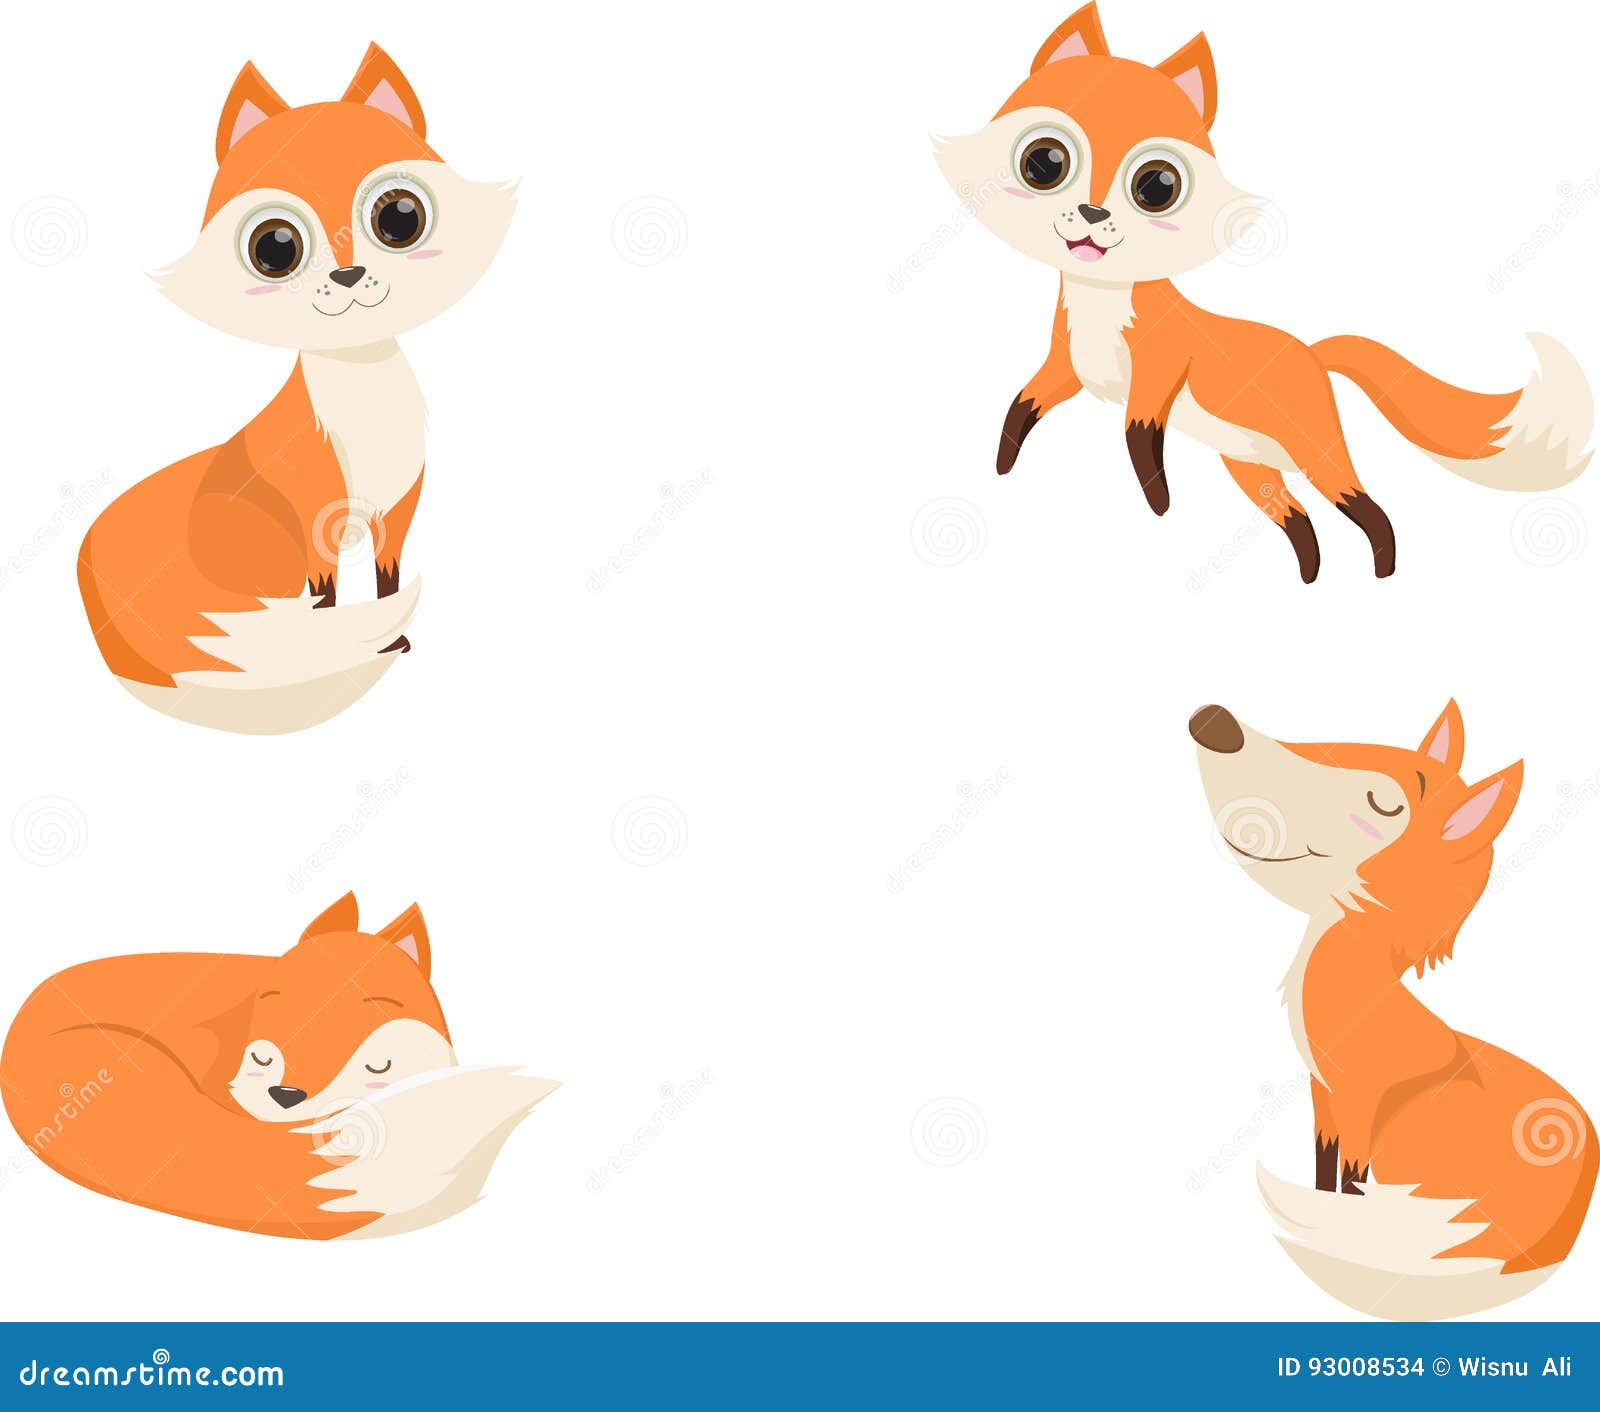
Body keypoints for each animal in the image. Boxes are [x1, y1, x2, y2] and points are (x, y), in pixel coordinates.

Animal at [77, 44, 514, 734]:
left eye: (400, 217)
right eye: (275, 247)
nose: (349, 273)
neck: (366, 412)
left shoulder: (397, 512)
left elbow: (386, 584)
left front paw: (392, 638)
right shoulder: (315, 521)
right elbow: (331, 599)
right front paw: (369, 646)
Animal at [935, 5, 1592, 581]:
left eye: (1157, 186)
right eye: (1044, 162)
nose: (1094, 214)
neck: (1101, 306)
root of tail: (1311, 351)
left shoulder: (1158, 374)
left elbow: (1139, 437)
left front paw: (1158, 502)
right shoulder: (1065, 367)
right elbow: (1023, 405)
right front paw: (1002, 463)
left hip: (1317, 455)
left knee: (1370, 510)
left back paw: (1383, 572)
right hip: (1252, 470)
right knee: (1302, 524)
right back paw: (1310, 578)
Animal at [1191, 701, 1596, 1318]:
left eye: (1383, 803)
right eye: (1358, 748)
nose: (1213, 723)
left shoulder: (1361, 1099)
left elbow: (1352, 1184)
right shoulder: (1324, 1093)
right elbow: (1324, 1172)